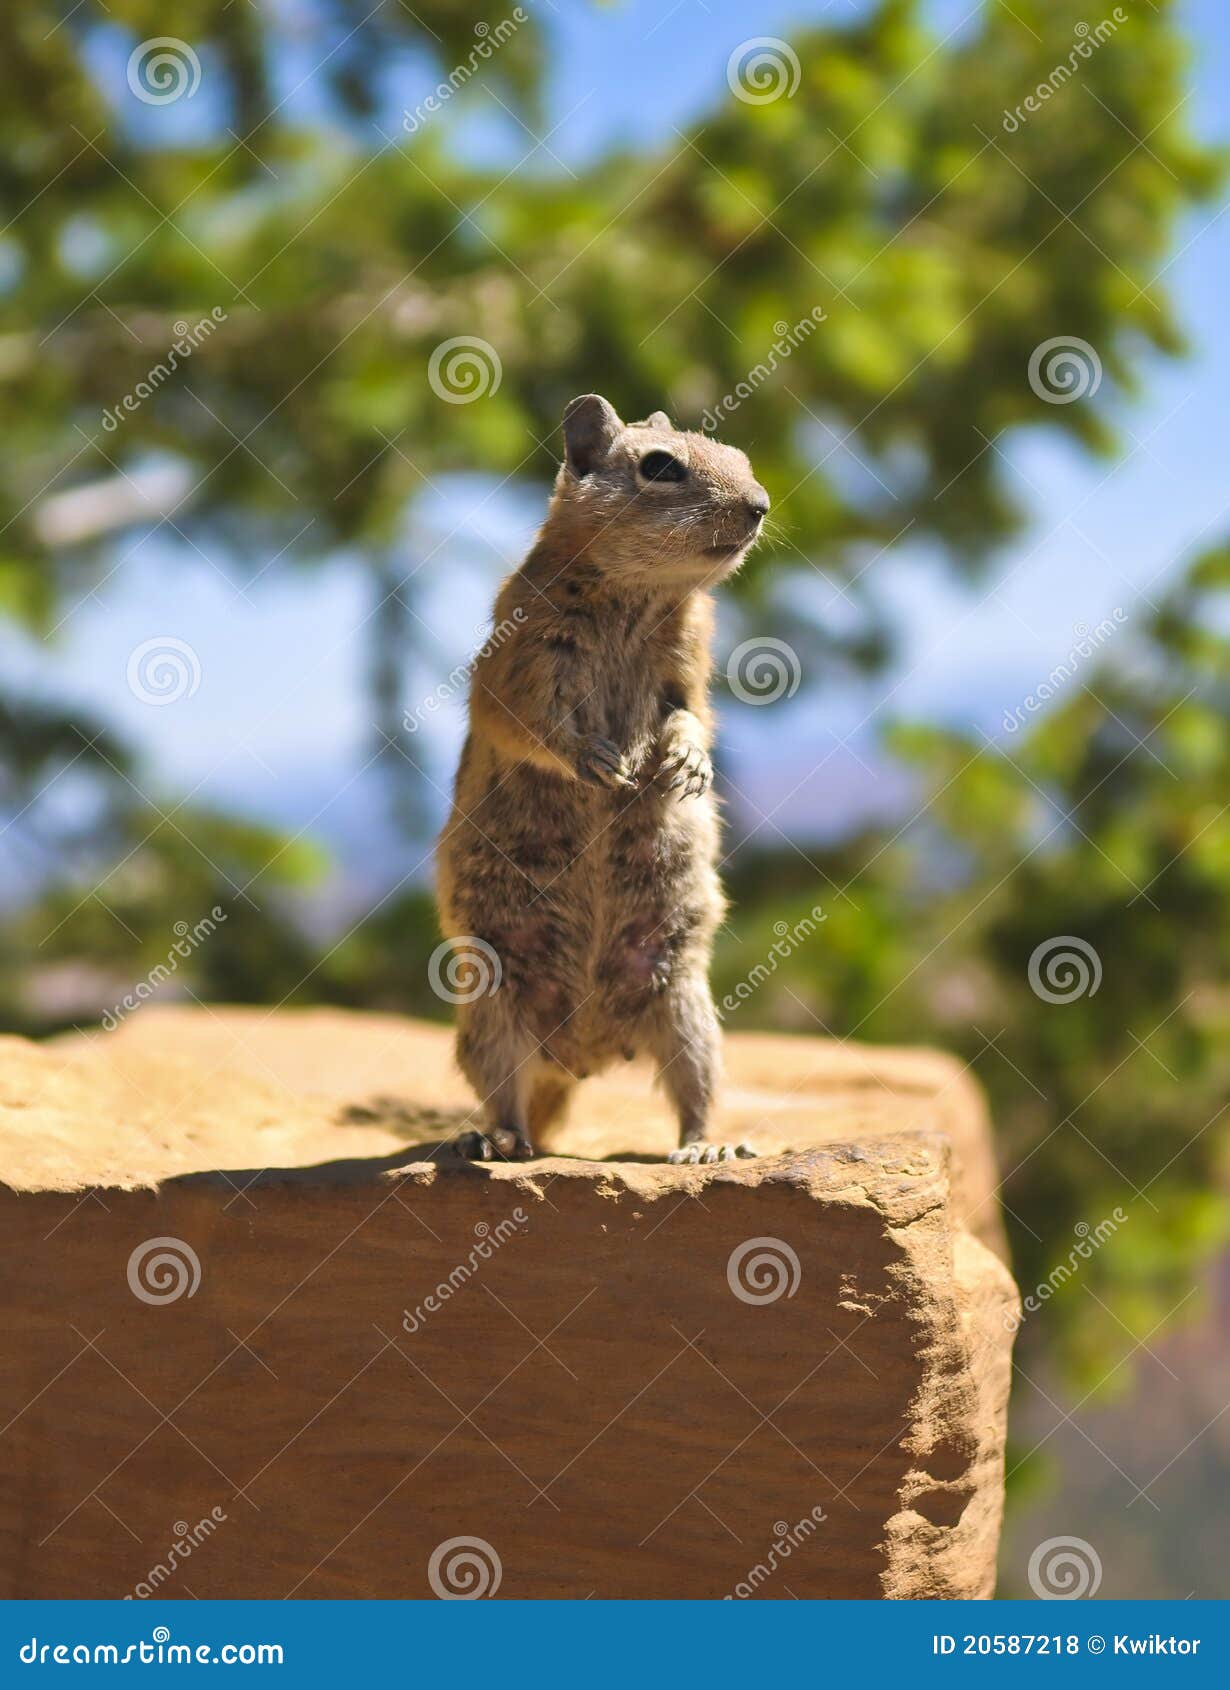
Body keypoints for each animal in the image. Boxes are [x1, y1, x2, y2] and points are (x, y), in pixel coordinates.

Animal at [435, 393, 770, 1164]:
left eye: (740, 457)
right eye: (660, 467)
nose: (761, 505)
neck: (640, 595)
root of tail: (577, 1055)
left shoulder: (688, 672)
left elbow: (691, 718)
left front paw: (686, 764)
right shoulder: (521, 659)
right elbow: (527, 725)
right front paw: (595, 760)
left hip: (686, 1011)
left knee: (695, 1094)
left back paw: (706, 1148)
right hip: (491, 1013)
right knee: (503, 1093)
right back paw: (497, 1140)